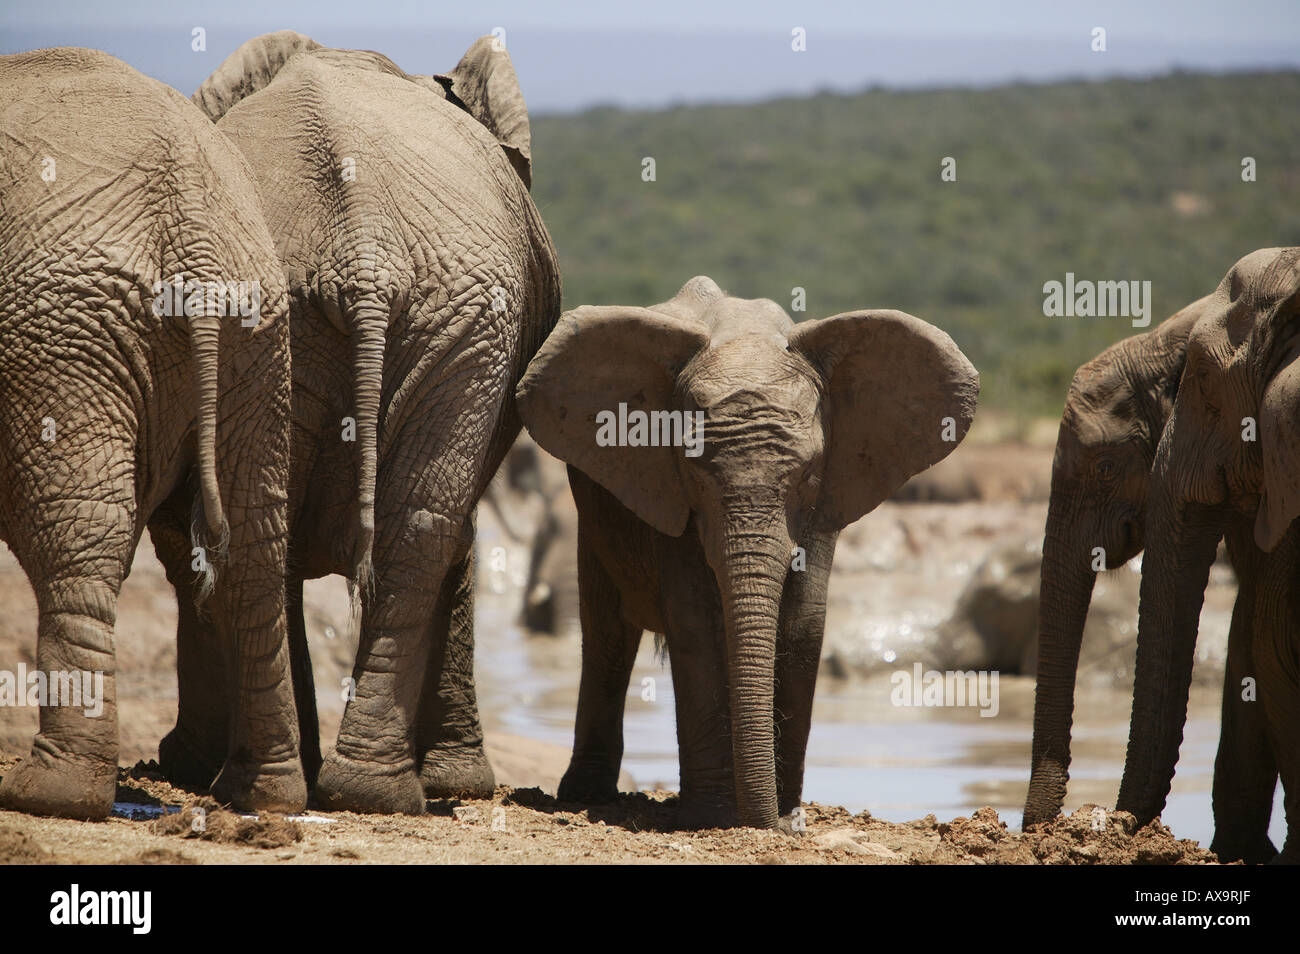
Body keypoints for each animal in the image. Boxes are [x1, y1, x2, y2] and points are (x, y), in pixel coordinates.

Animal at [0, 49, 302, 819]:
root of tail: (193, 226)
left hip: (61, 330)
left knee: (78, 528)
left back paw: (49, 794)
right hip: (259, 328)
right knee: (255, 544)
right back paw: (263, 794)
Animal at [149, 32, 562, 814]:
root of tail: (362, 246)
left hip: (428, 316)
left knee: (342, 525)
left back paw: (316, 785)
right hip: (437, 313)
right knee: (409, 524)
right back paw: (350, 786)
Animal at [516, 276, 979, 828]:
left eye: (808, 475)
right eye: (694, 470)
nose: (770, 820)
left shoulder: (829, 496)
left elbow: (804, 624)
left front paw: (786, 817)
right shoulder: (667, 487)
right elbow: (695, 620)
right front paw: (716, 817)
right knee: (606, 631)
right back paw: (587, 795)